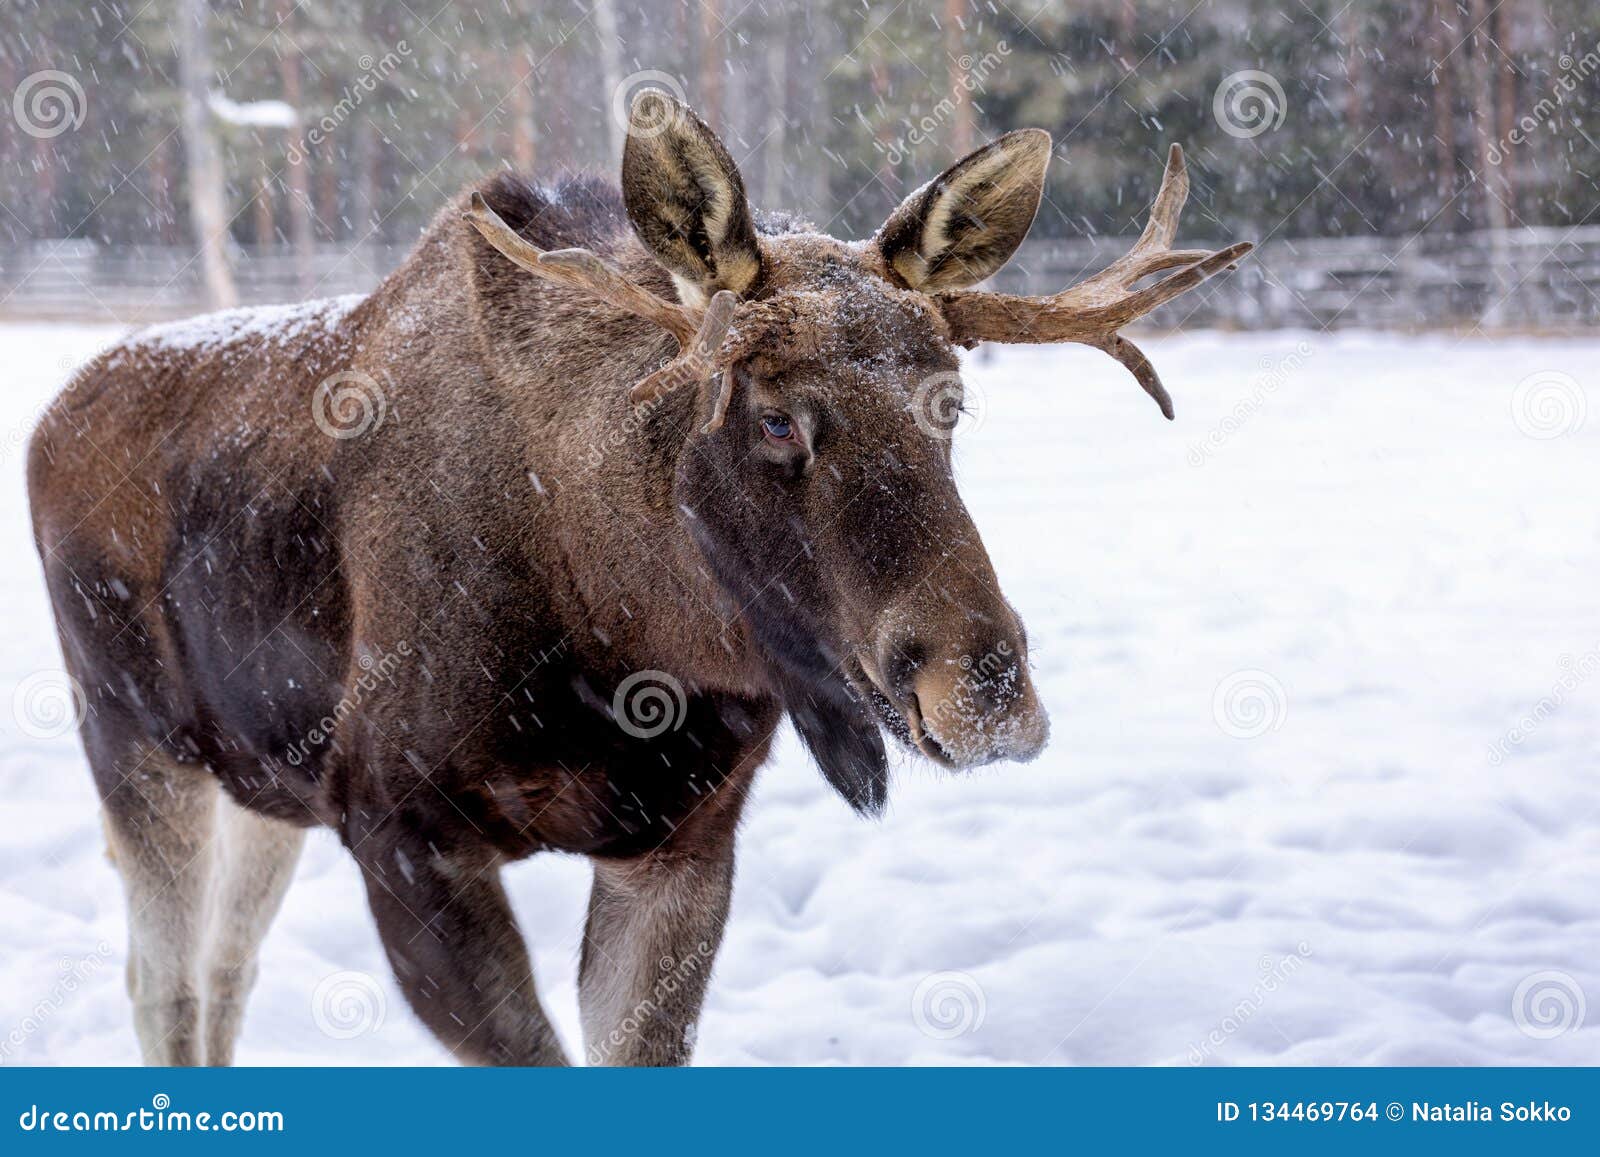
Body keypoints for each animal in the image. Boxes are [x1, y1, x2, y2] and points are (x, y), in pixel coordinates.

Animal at [27, 93, 1249, 1066]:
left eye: (951, 399)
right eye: (774, 418)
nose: (984, 685)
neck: (624, 633)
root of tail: (50, 418)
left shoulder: (684, 842)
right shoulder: (398, 823)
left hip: (262, 786)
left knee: (223, 974)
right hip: (134, 743)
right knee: (163, 984)